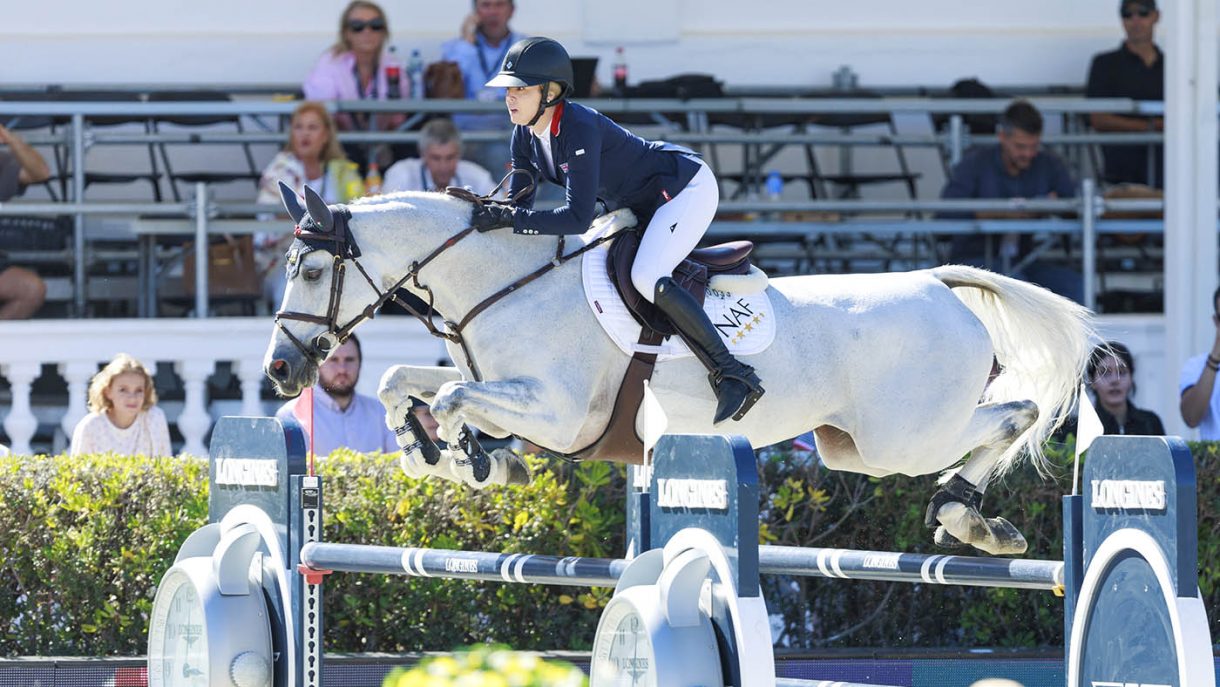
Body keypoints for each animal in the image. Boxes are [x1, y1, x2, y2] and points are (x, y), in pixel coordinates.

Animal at [263, 184, 1094, 556]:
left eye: (311, 270)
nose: (278, 369)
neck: (506, 280)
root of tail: (936, 283)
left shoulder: (560, 412)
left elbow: (458, 397)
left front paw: (474, 458)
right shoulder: (511, 388)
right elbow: (403, 381)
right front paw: (436, 453)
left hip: (904, 438)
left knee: (1014, 414)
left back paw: (970, 516)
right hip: (848, 446)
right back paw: (970, 515)